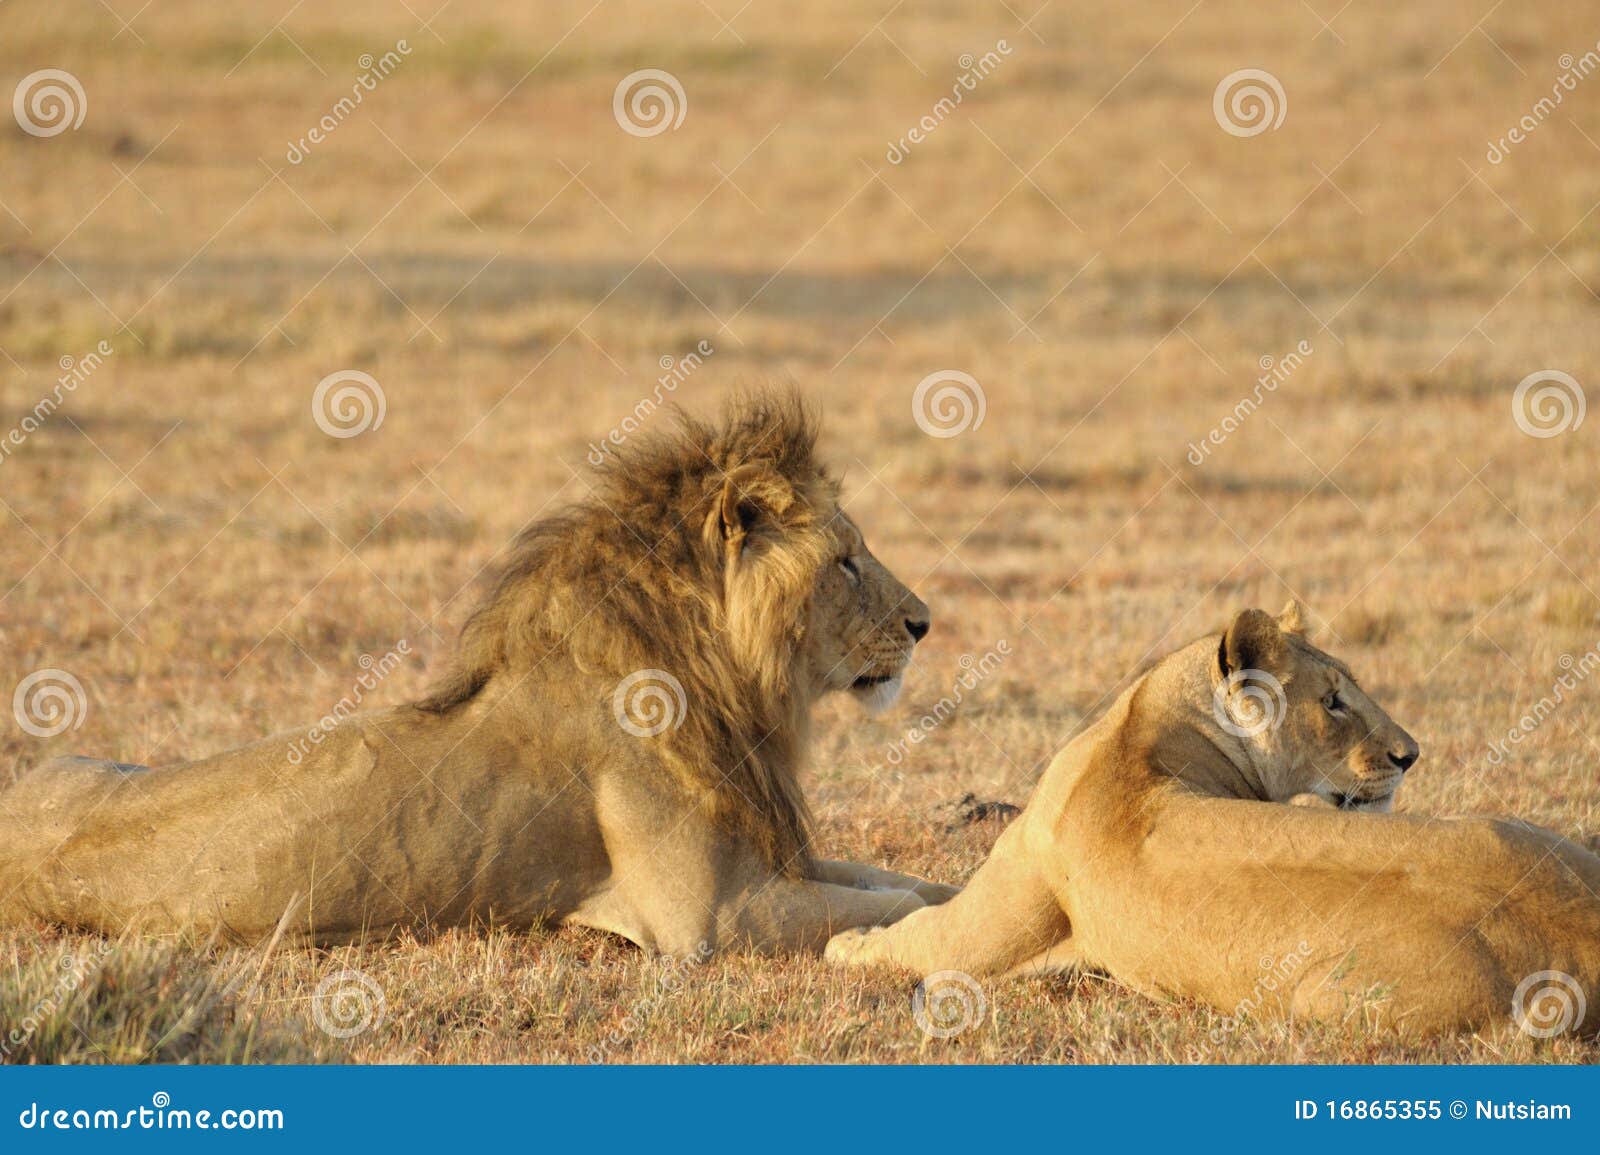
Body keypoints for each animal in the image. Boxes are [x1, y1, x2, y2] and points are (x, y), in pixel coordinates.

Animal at [0, 392, 956, 953]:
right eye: (844, 560)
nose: (925, 622)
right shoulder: (709, 919)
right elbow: (886, 906)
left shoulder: (771, 856)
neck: (728, 678)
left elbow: (895, 880)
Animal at [829, 602, 1600, 1037]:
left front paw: (846, 940)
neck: (1143, 722)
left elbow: (917, 938)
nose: (1410, 755)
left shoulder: (984, 935)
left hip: (1327, 1001)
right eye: (1333, 700)